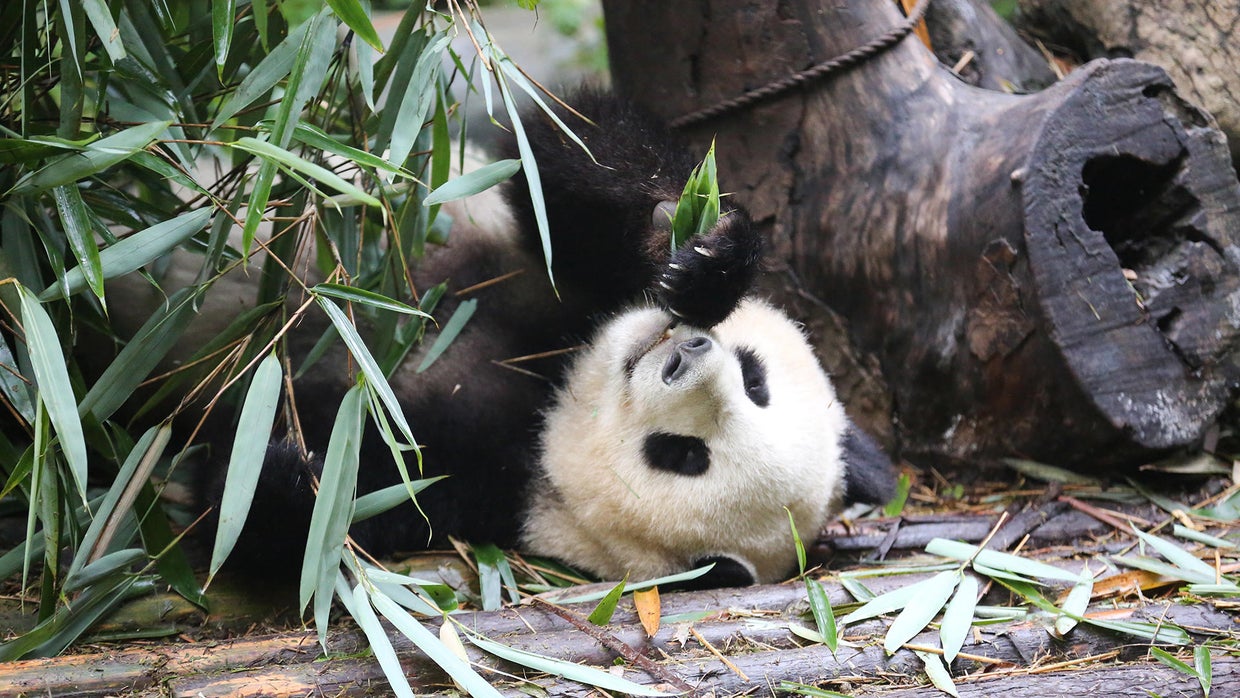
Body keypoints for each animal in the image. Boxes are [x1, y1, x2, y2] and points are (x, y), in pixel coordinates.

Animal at [191, 89, 895, 589]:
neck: (552, 398)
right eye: (755, 377)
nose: (686, 354)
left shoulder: (471, 484)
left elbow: (293, 518)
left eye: (683, 454)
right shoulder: (551, 279)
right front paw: (707, 257)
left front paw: (289, 474)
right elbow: (566, 154)